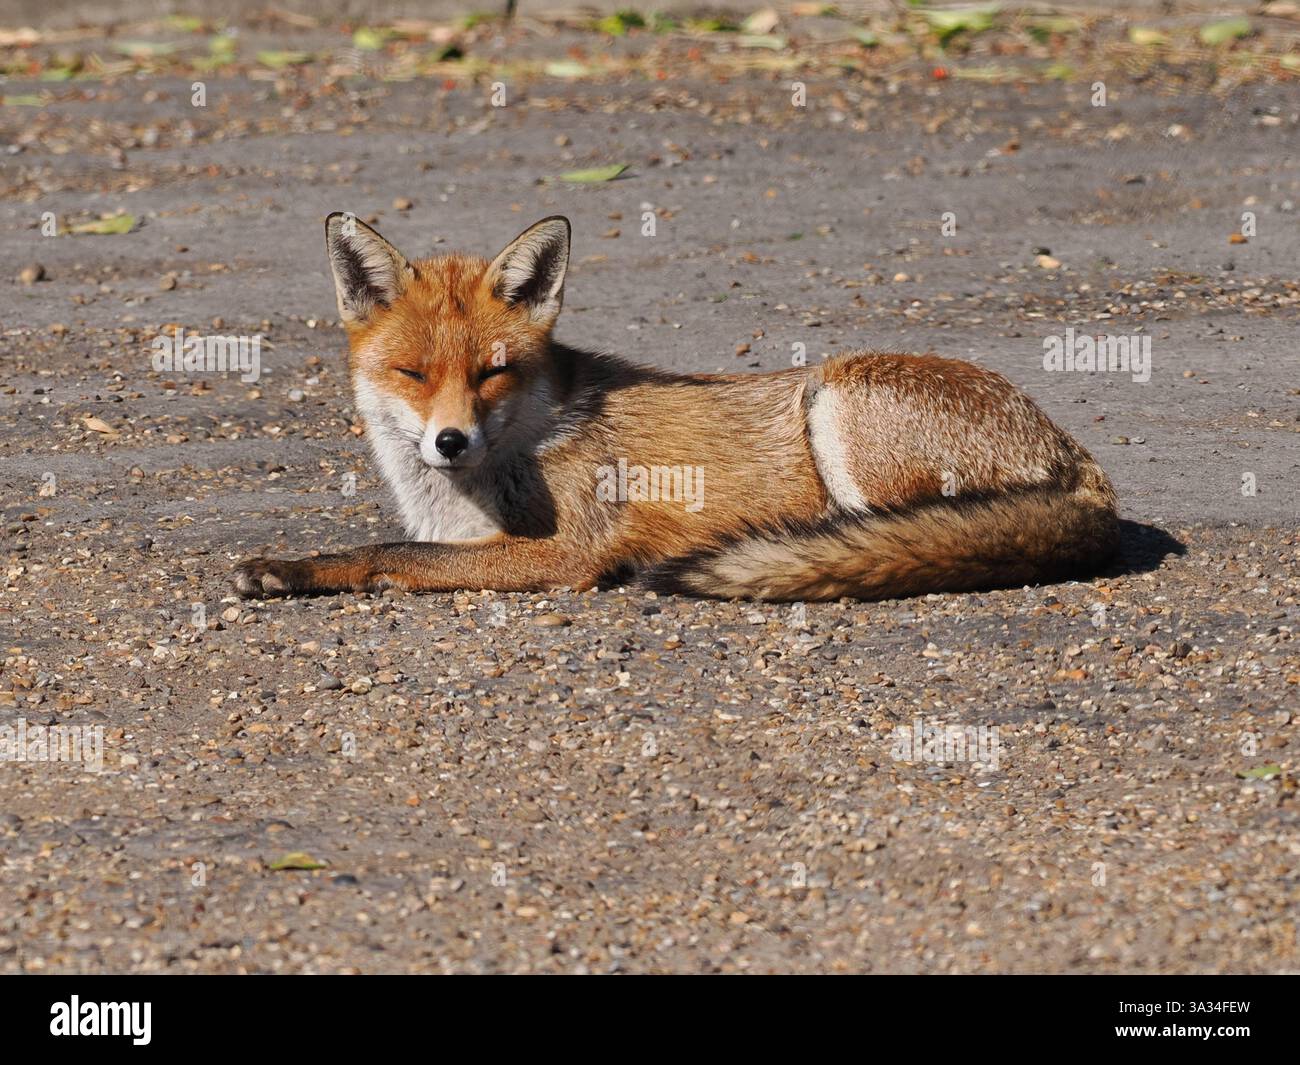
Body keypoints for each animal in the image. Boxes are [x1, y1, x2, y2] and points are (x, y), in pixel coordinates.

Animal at [234, 213, 1119, 601]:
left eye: (493, 372)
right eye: (413, 372)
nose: (450, 441)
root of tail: (1083, 465)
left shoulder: (567, 551)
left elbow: (394, 551)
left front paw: (294, 569)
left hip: (837, 403)